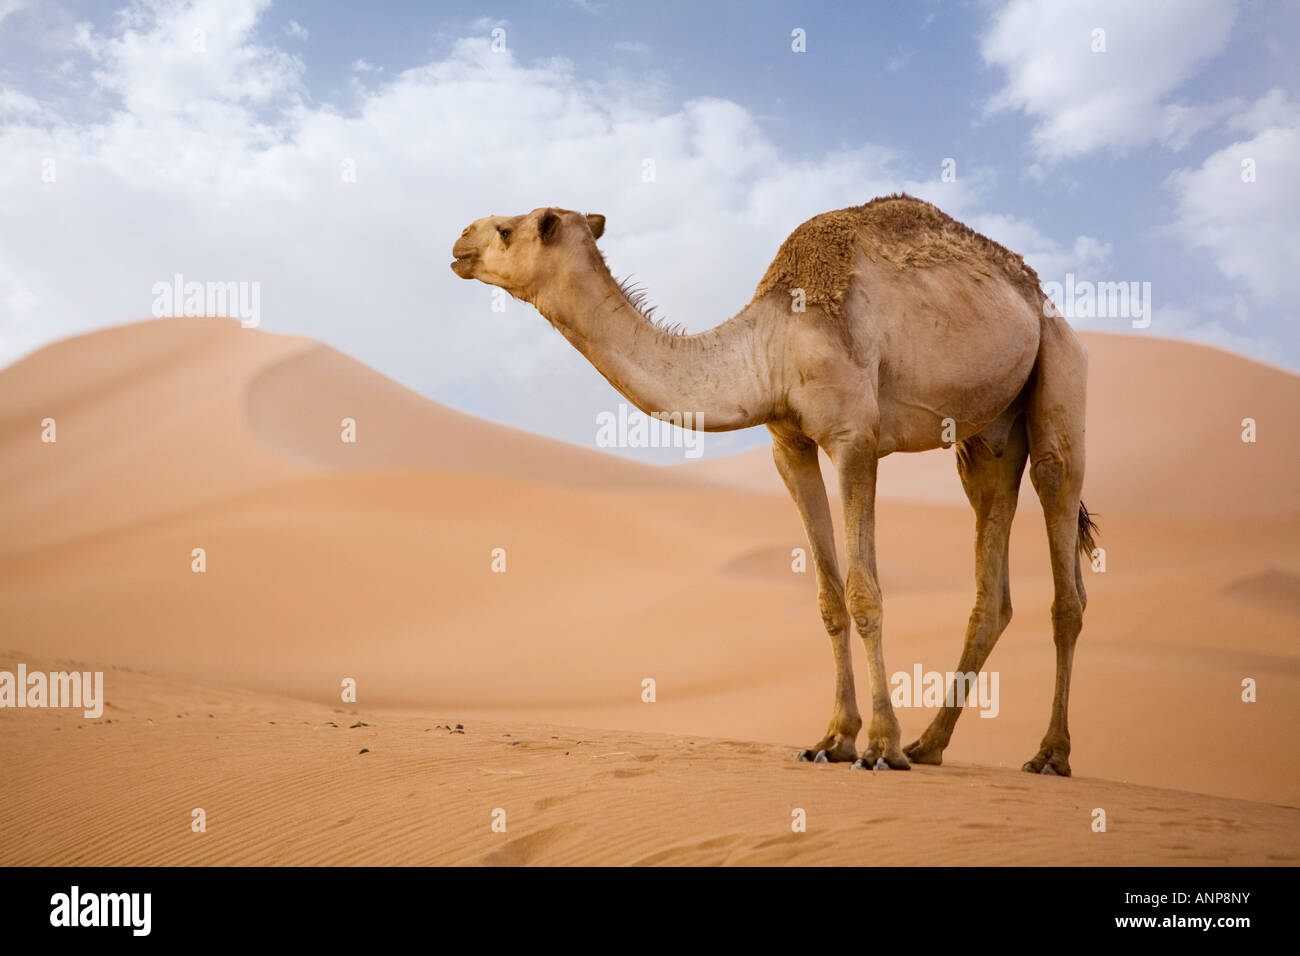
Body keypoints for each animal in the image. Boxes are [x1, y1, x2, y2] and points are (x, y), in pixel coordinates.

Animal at [451, 194, 1095, 775]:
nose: (458, 241)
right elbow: (829, 598)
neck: (774, 342)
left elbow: (864, 593)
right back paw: (930, 745)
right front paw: (834, 740)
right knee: (992, 583)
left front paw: (880, 747)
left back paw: (1048, 755)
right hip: (989, 436)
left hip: (1060, 372)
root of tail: (1041, 300)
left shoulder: (855, 438)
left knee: (1062, 545)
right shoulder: (789, 443)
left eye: (506, 229)